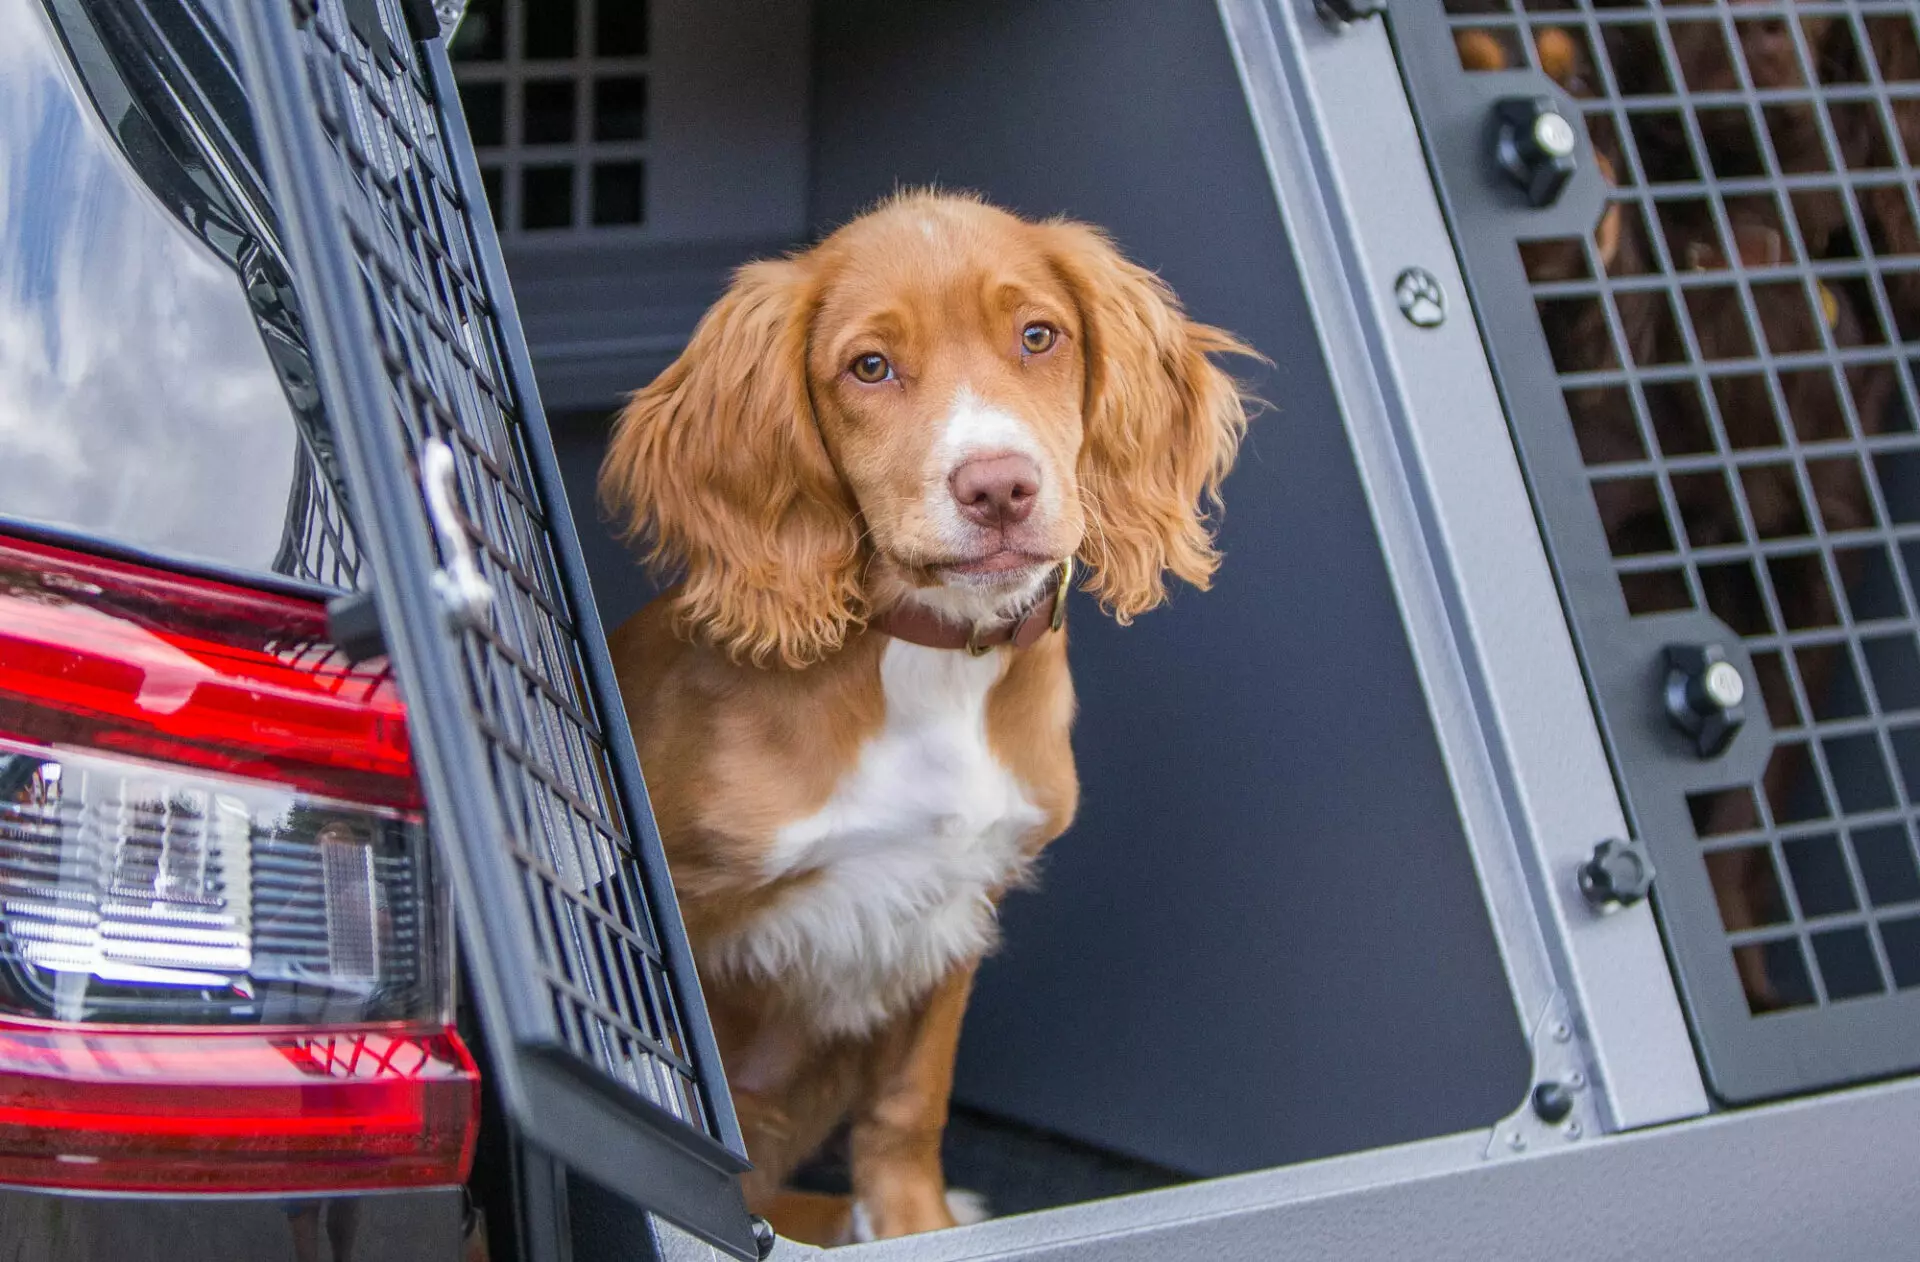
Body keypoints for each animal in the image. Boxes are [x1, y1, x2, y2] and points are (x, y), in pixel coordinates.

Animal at [599, 192, 1259, 1244]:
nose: (1000, 487)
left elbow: (912, 1103)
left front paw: (914, 1224)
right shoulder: (672, 903)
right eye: (869, 367)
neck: (933, 656)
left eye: (1039, 336)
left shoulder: (953, 899)